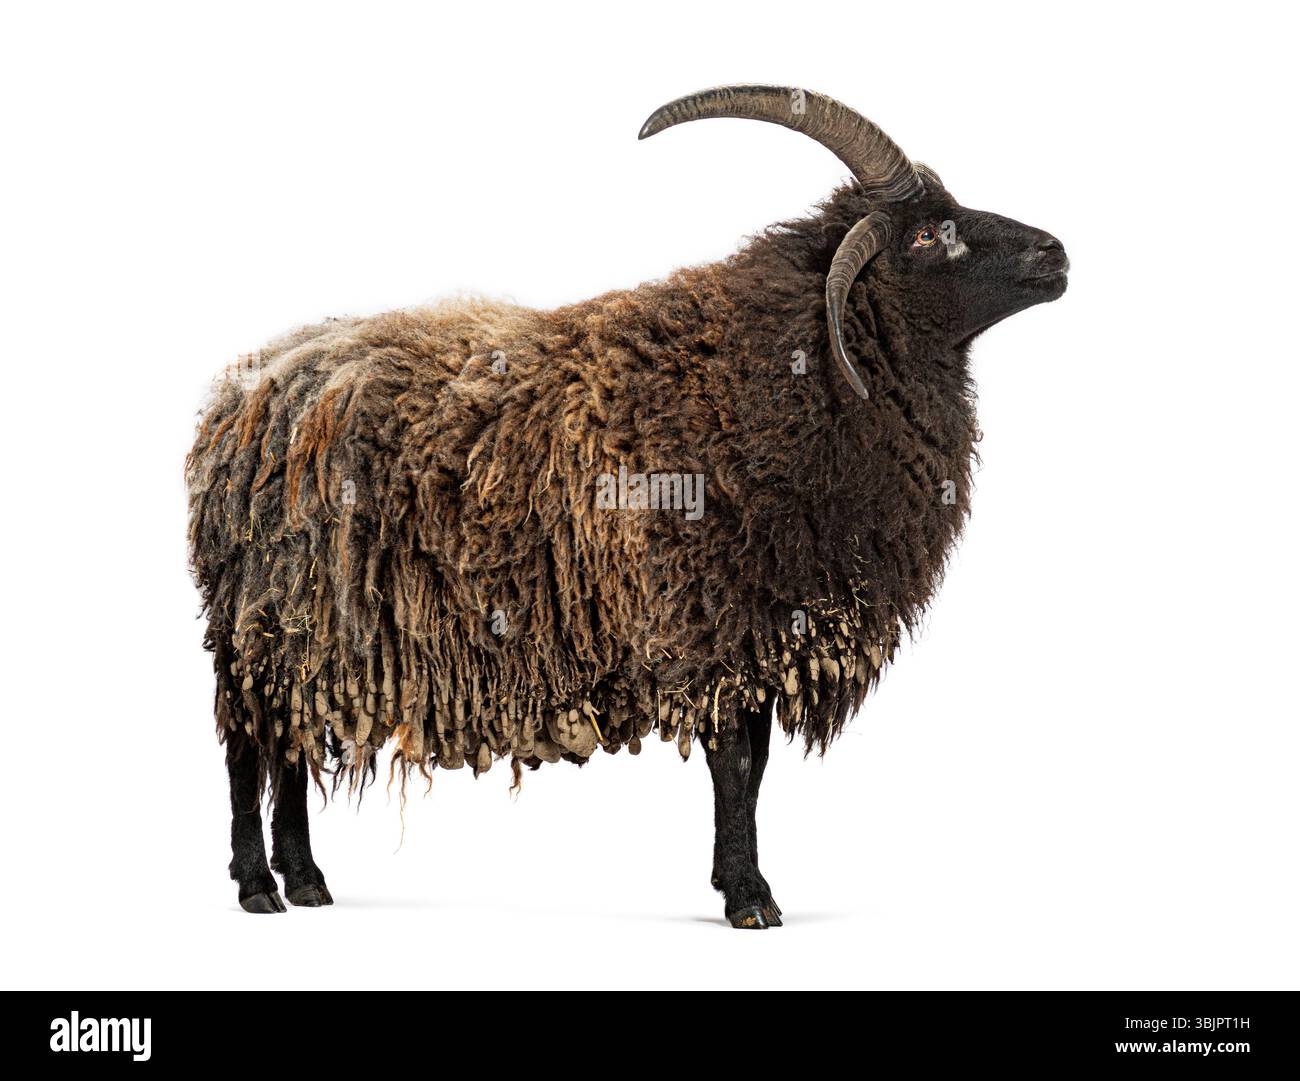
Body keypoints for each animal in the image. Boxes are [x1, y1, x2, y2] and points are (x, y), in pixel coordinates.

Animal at [186, 85, 1068, 927]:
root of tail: (245, 392)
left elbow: (752, 766)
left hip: (299, 633)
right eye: (925, 236)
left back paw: (307, 879)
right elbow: (737, 762)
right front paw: (750, 898)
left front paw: (736, 881)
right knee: (248, 750)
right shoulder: (713, 619)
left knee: (287, 743)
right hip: (264, 622)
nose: (1056, 253)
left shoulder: (760, 628)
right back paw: (259, 885)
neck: (770, 376)